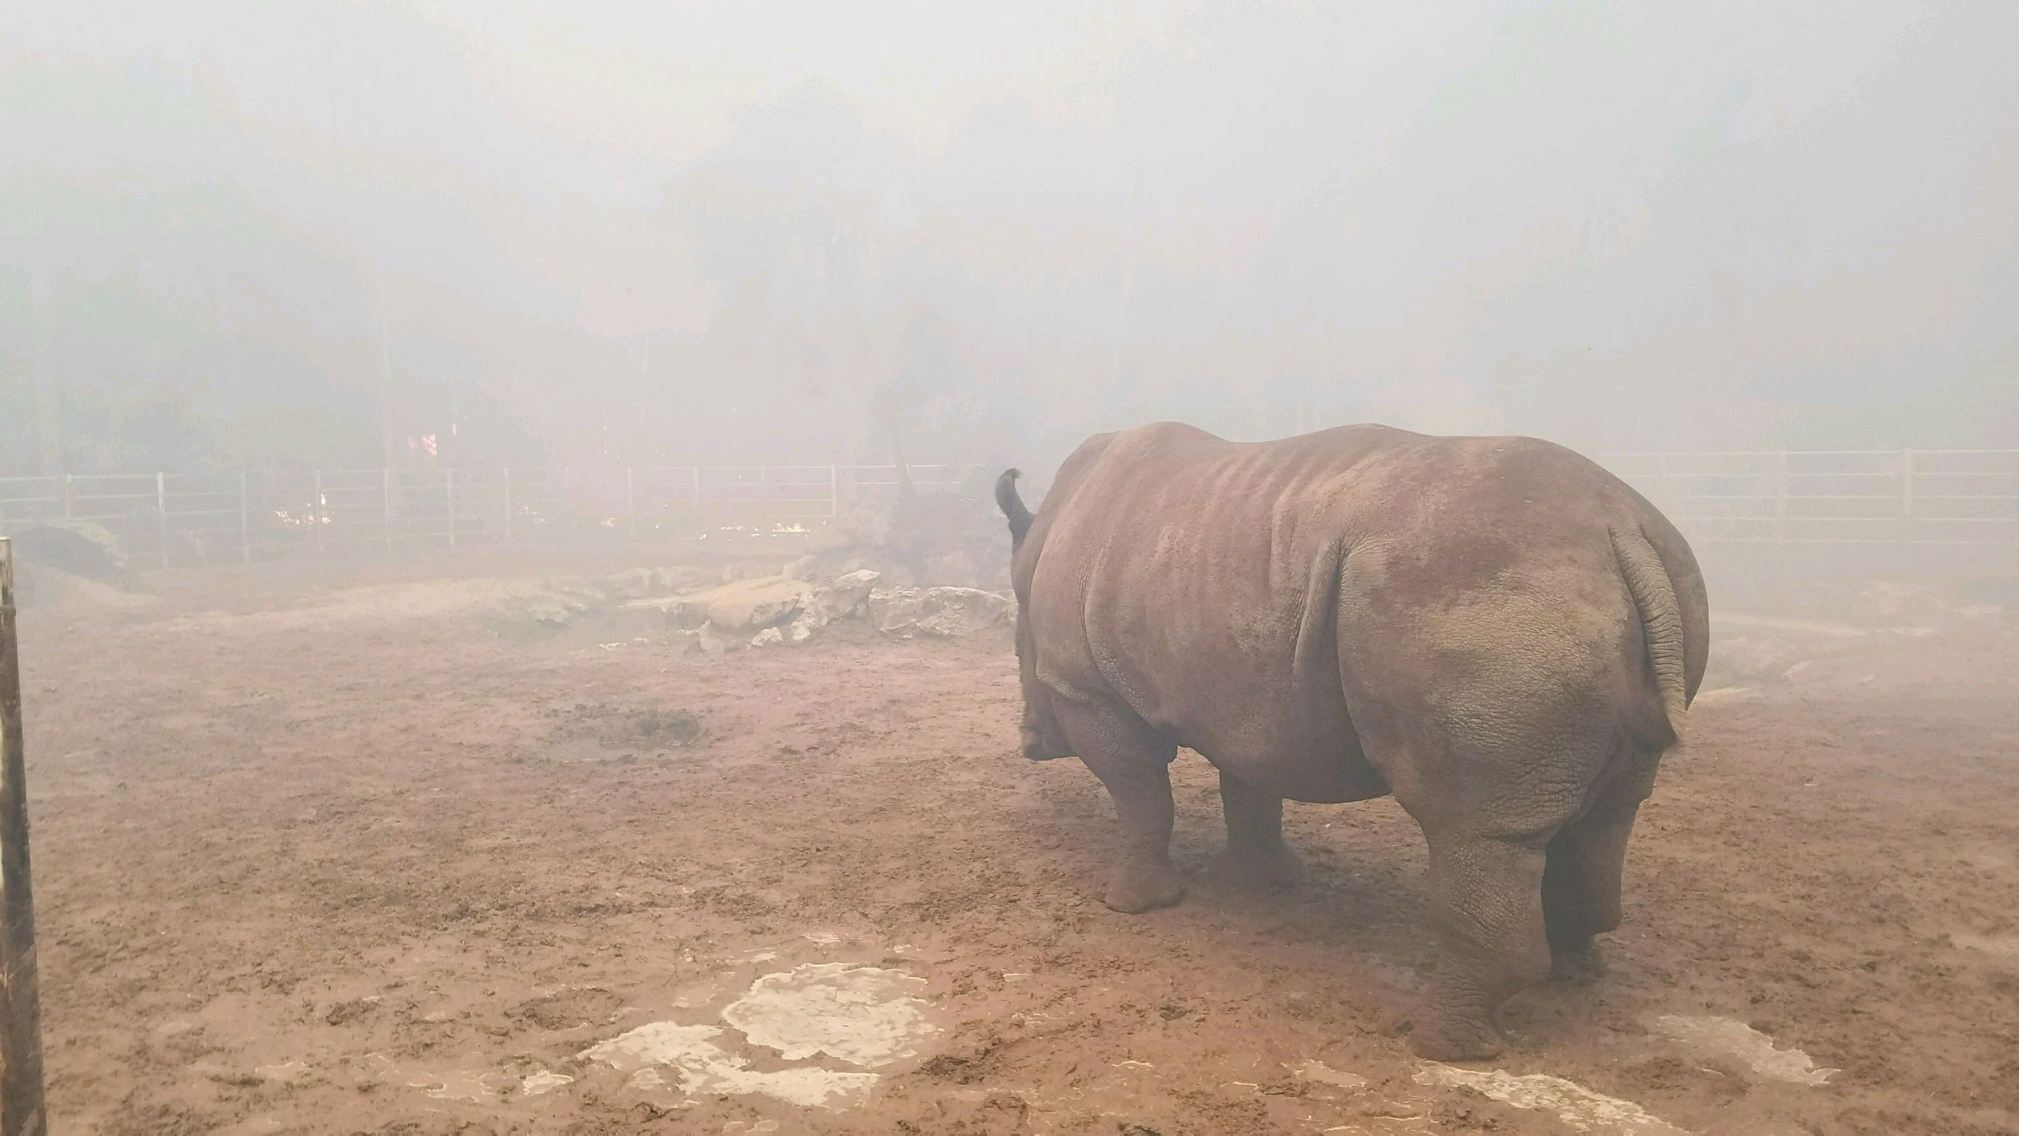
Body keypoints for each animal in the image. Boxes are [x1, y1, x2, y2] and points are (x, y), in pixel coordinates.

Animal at [996, 422, 1709, 1060]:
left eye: (1017, 640)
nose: (1029, 742)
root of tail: (1622, 531)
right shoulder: (1244, 696)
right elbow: (1250, 788)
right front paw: (1265, 883)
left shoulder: (1085, 688)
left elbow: (1140, 794)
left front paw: (1131, 906)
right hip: (1634, 590)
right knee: (1610, 812)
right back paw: (1573, 972)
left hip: (1488, 595)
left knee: (1472, 828)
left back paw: (1439, 1048)